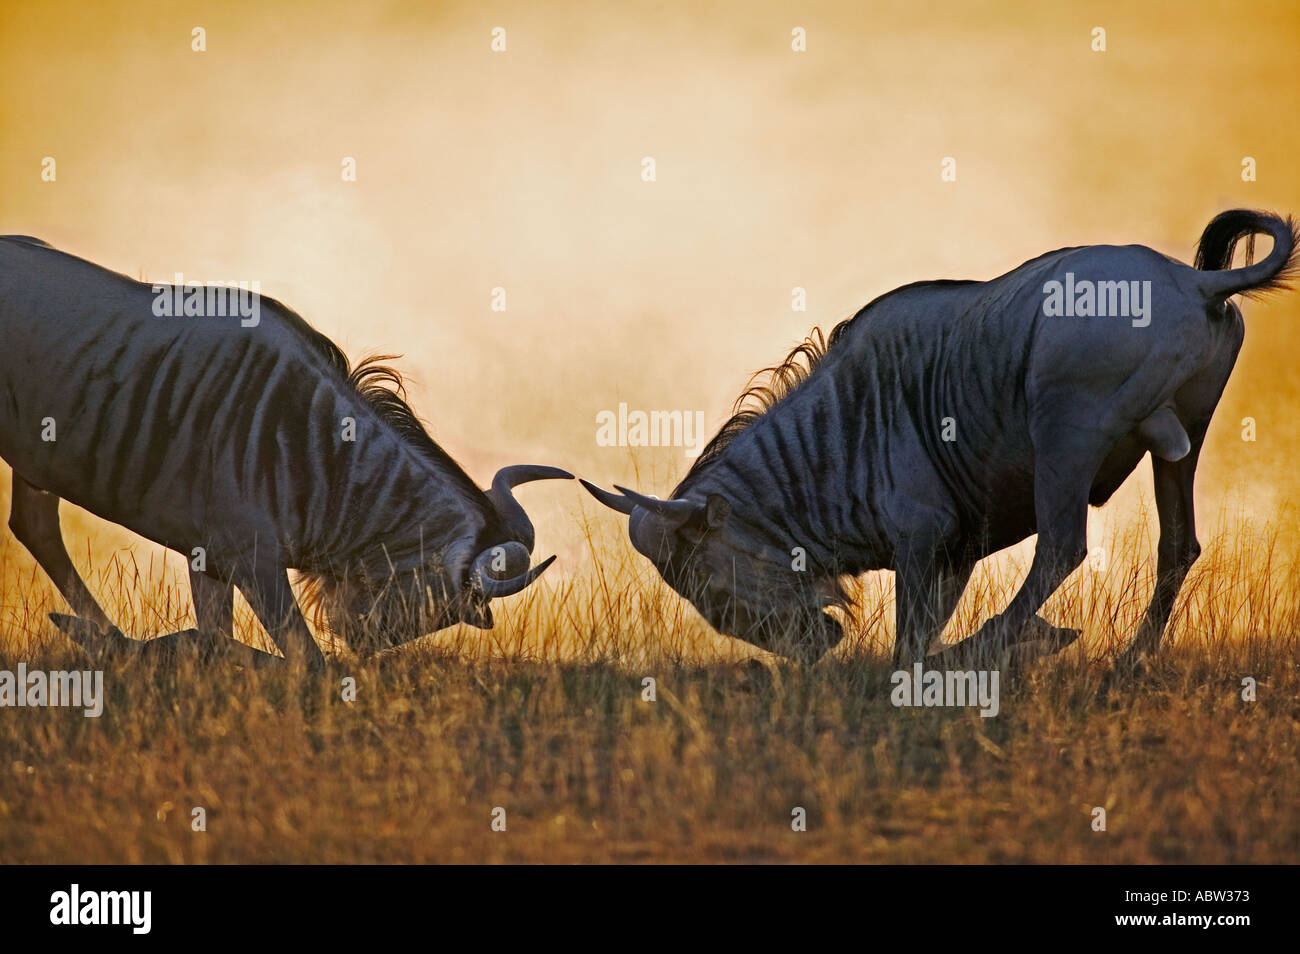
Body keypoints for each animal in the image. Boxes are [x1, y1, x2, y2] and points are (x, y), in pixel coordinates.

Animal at [0, 236, 571, 668]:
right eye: (437, 607)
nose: (364, 645)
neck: (319, 451)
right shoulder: (254, 563)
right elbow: (303, 659)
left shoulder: (207, 558)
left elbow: (219, 637)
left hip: (36, 461)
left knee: (35, 525)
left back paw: (105, 638)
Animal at [583, 210, 1298, 671]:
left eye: (707, 575)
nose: (810, 650)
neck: (836, 435)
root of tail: (1196, 281)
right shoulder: (955, 549)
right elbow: (922, 628)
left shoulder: (922, 536)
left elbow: (909, 642)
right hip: (1184, 440)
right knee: (1177, 545)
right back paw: (1131, 661)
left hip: (1066, 436)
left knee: (1062, 548)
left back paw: (1005, 647)